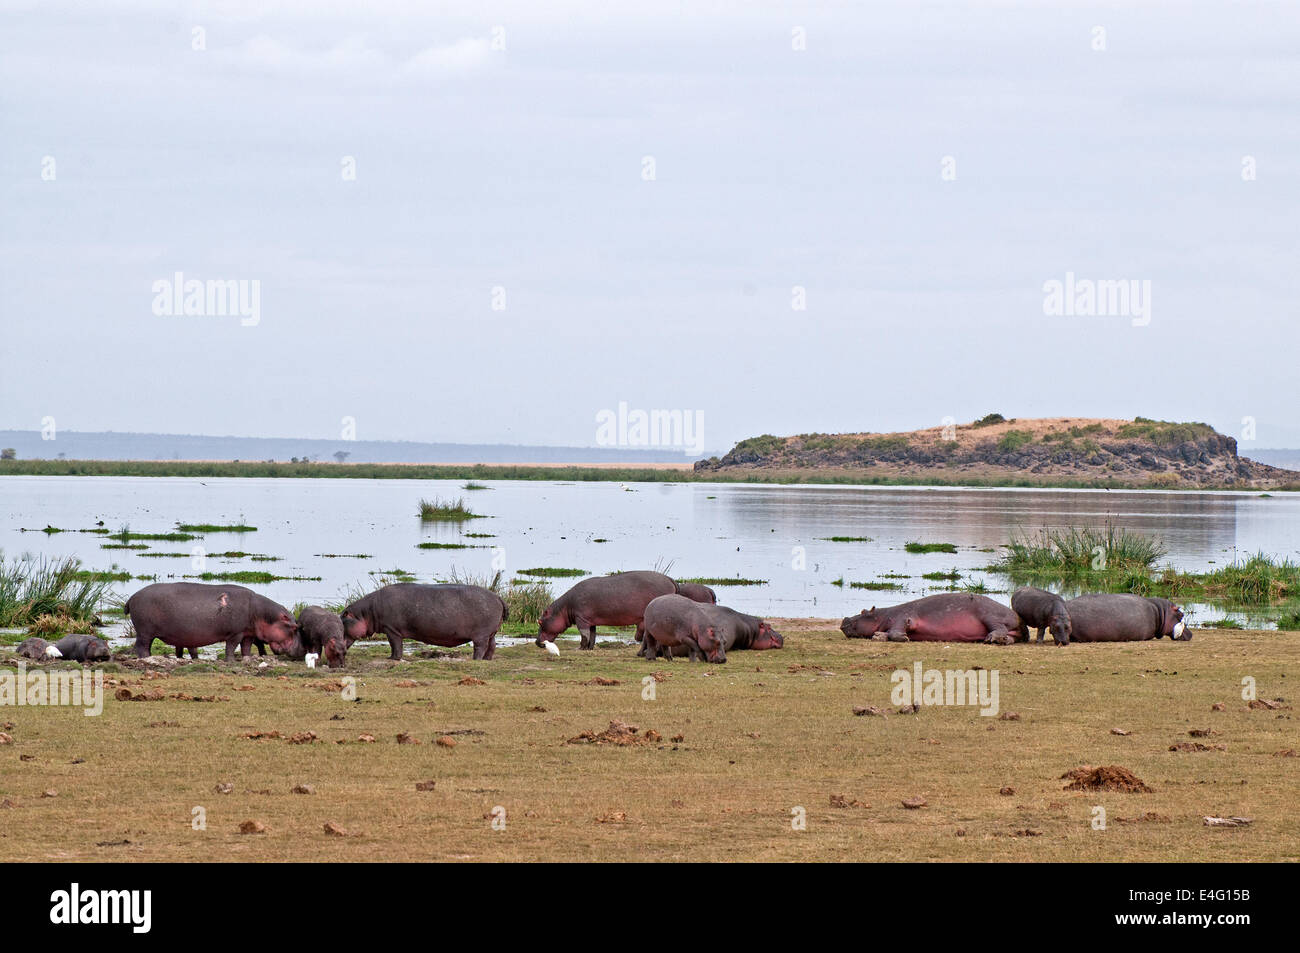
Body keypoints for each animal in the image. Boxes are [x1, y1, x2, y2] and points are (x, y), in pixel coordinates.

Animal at [126, 582, 300, 662]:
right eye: (294, 627)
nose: (298, 651)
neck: (260, 612)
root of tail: (132, 597)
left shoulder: (248, 633)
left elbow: (246, 647)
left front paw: (247, 658)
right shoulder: (236, 633)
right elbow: (231, 647)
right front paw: (231, 660)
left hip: (146, 632)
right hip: (145, 631)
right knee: (142, 646)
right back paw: (147, 658)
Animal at [341, 583, 508, 661]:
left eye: (341, 618)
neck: (365, 613)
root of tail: (498, 597)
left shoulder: (391, 629)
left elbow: (395, 645)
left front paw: (392, 659)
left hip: (482, 634)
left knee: (480, 647)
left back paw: (475, 659)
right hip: (492, 632)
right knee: (492, 646)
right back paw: (486, 660)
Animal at [536, 570, 678, 650]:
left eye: (540, 621)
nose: (536, 642)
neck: (564, 608)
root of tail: (670, 579)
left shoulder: (581, 619)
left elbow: (584, 634)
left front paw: (579, 648)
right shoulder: (590, 620)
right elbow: (592, 635)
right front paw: (589, 648)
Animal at [840, 593, 1021, 644]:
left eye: (864, 611)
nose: (845, 618)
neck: (883, 615)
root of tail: (1019, 619)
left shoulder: (904, 617)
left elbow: (896, 630)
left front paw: (903, 638)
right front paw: (878, 636)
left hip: (989, 615)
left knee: (999, 627)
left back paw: (991, 639)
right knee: (1009, 637)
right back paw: (1001, 640)